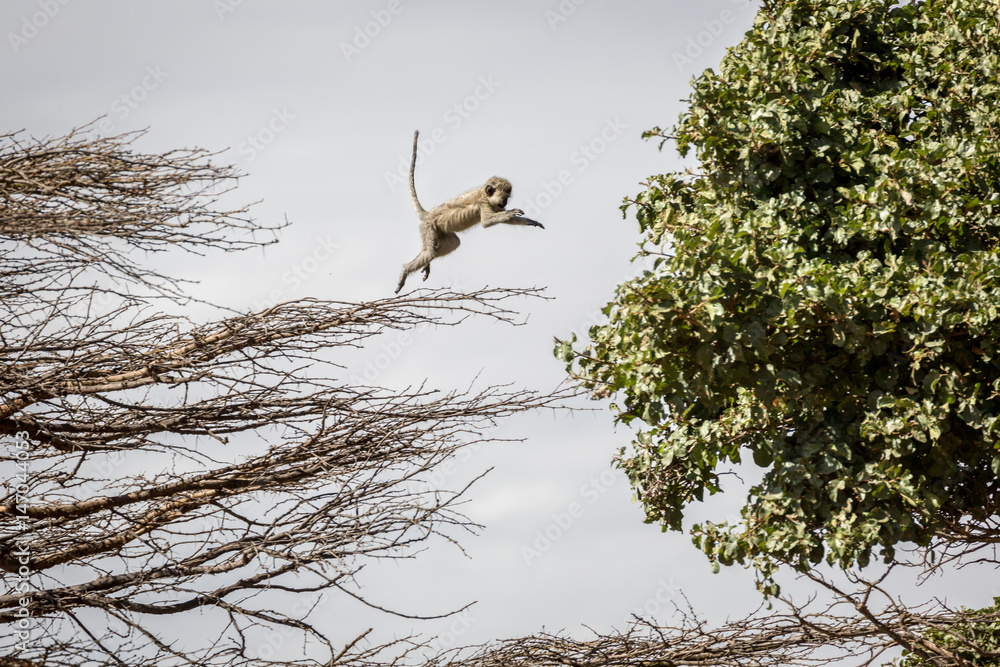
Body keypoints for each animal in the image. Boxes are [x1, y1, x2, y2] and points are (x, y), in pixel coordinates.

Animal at [395, 130, 544, 294]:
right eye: (505, 198)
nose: (505, 203)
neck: (484, 194)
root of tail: (428, 214)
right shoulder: (483, 203)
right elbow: (486, 222)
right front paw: (511, 212)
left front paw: (530, 221)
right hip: (428, 227)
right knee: (430, 252)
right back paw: (406, 270)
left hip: (439, 230)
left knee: (449, 244)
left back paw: (426, 264)